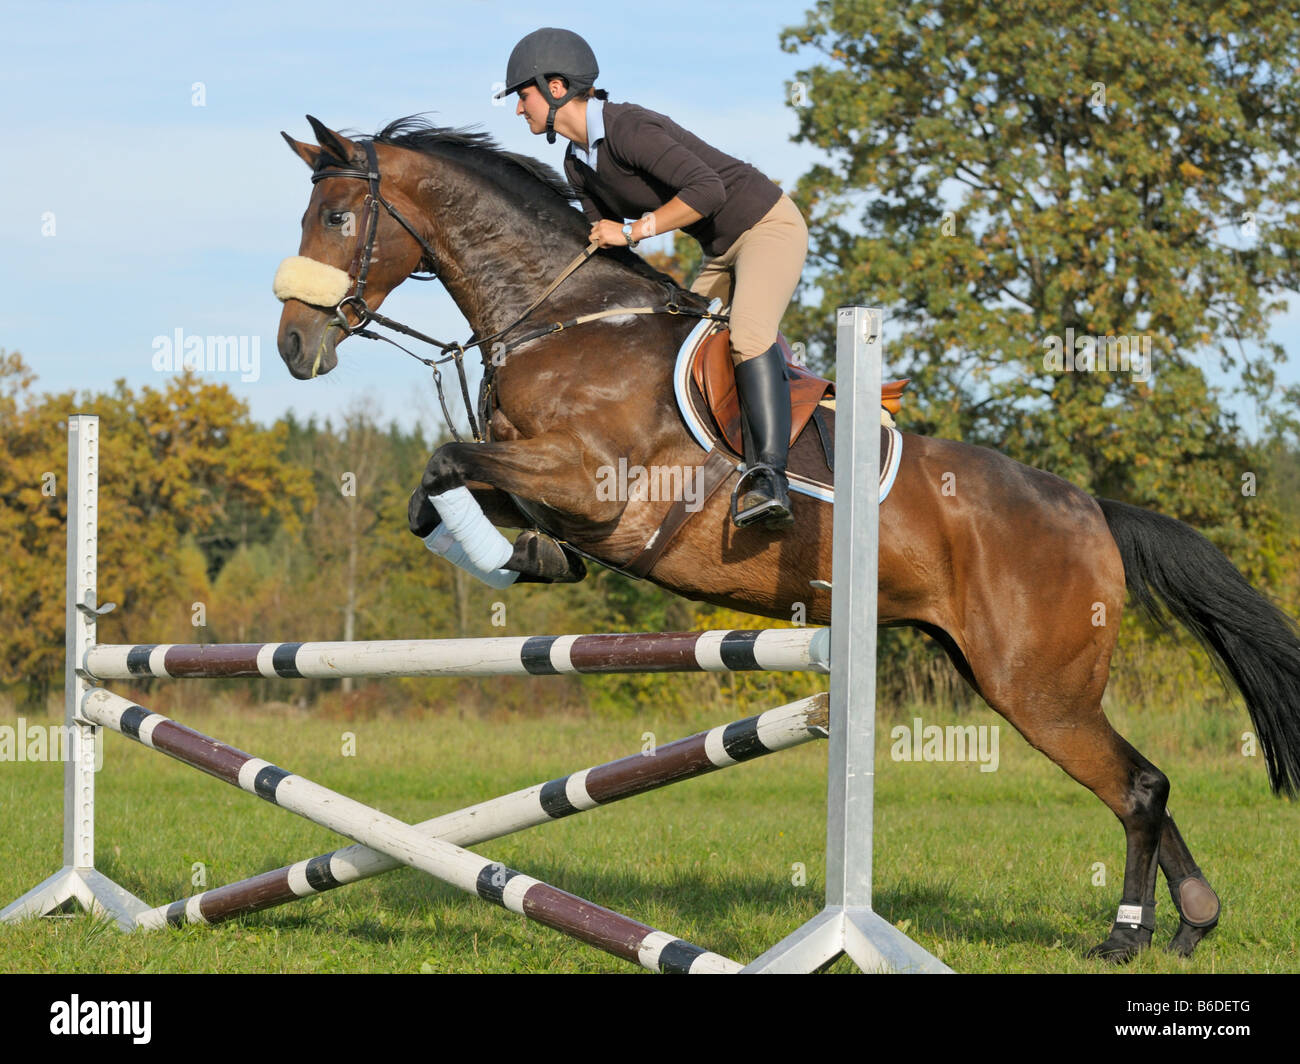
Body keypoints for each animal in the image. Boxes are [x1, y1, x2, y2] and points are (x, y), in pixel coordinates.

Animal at [273, 115, 1300, 963]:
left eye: (336, 216)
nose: (291, 347)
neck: (561, 320)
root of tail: (1091, 510)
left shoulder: (596, 487)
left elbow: (445, 461)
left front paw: (503, 555)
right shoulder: (536, 476)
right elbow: (440, 490)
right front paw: (523, 558)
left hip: (1034, 687)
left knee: (1136, 786)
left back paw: (1125, 939)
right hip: (1009, 676)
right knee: (1141, 784)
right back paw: (1193, 920)